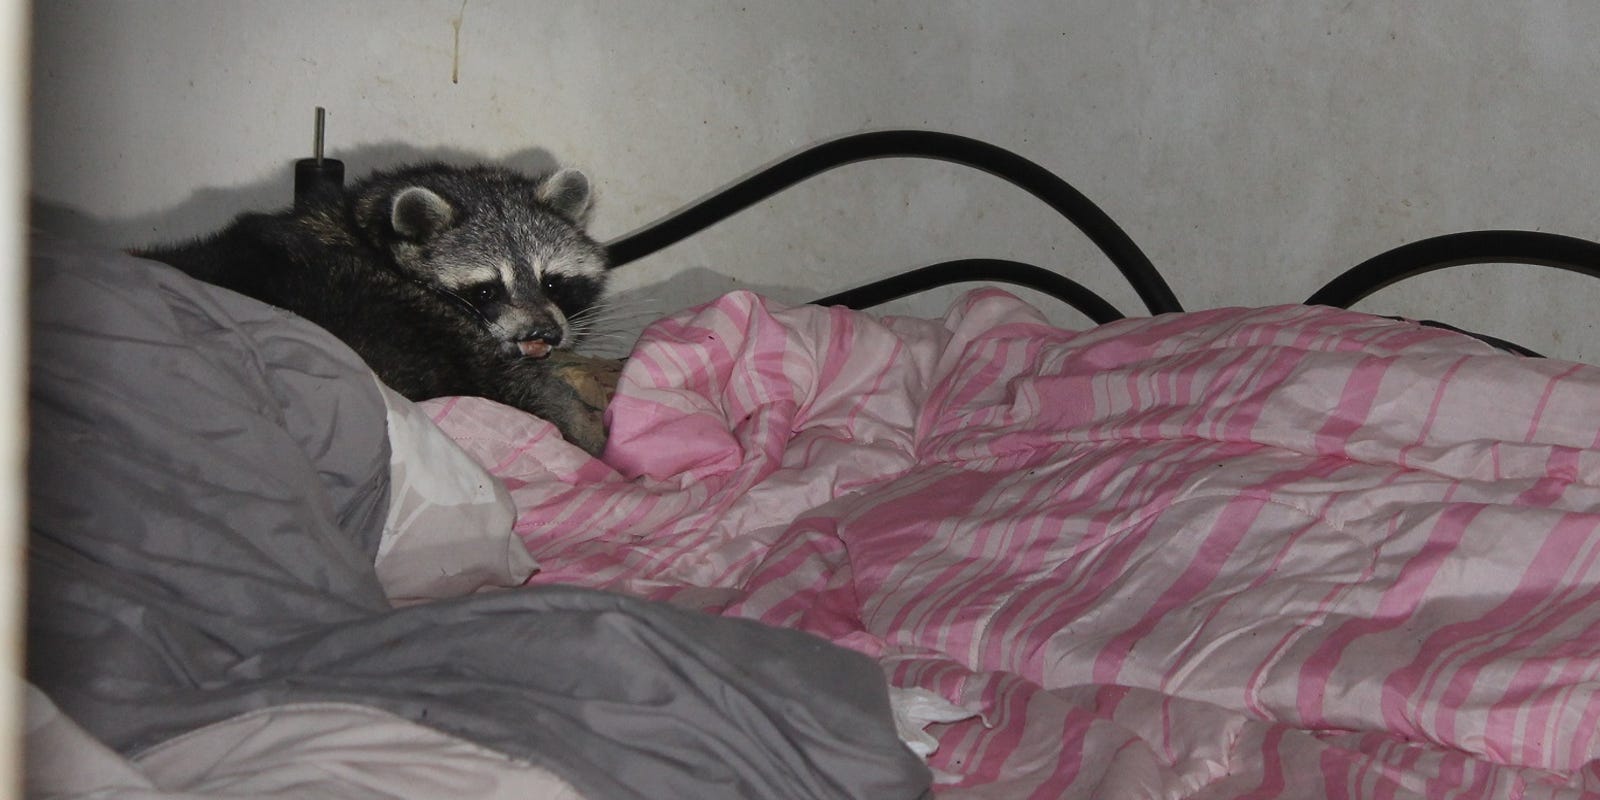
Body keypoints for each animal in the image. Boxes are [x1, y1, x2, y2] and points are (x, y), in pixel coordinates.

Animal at [134, 162, 614, 454]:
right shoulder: (414, 316)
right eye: (485, 292)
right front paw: (585, 422)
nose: (543, 335)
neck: (367, 236)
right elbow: (525, 390)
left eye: (552, 282)